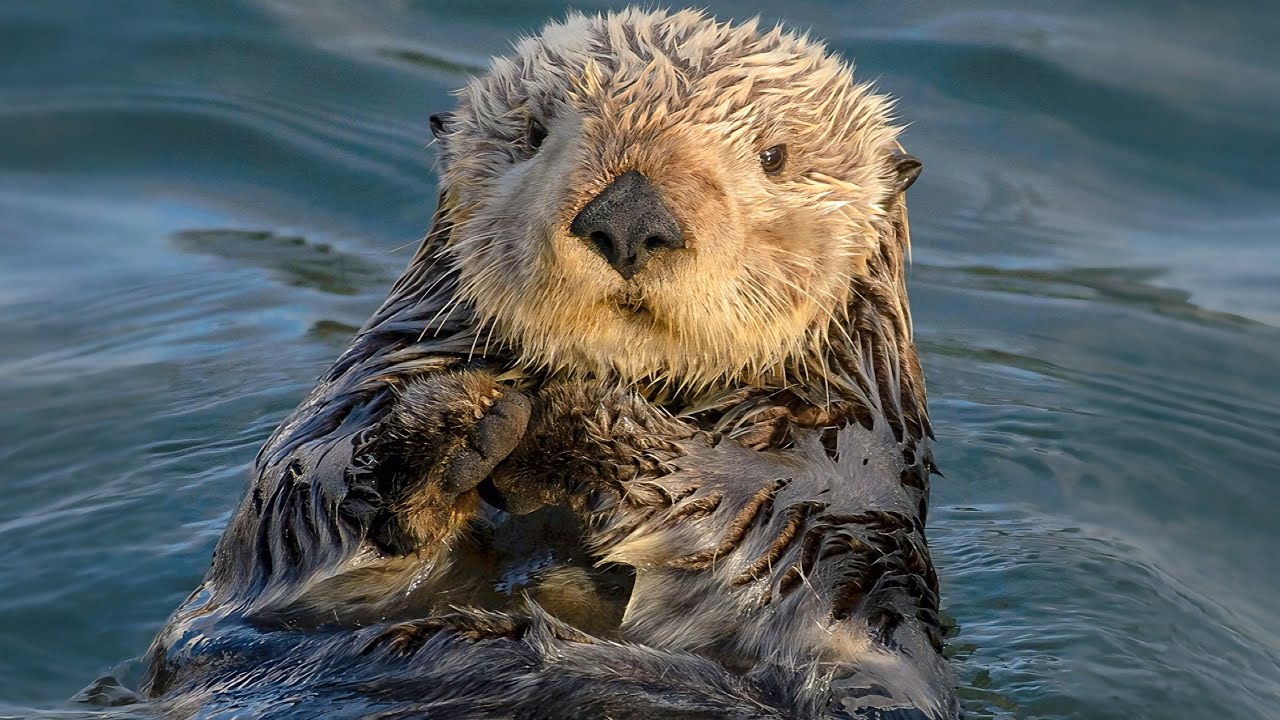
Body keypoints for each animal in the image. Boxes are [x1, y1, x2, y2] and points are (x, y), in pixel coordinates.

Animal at [119, 8, 956, 719]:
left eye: (774, 156)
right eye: (533, 131)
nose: (629, 219)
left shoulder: (848, 504)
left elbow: (771, 525)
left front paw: (572, 426)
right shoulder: (323, 446)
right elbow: (291, 505)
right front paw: (458, 422)